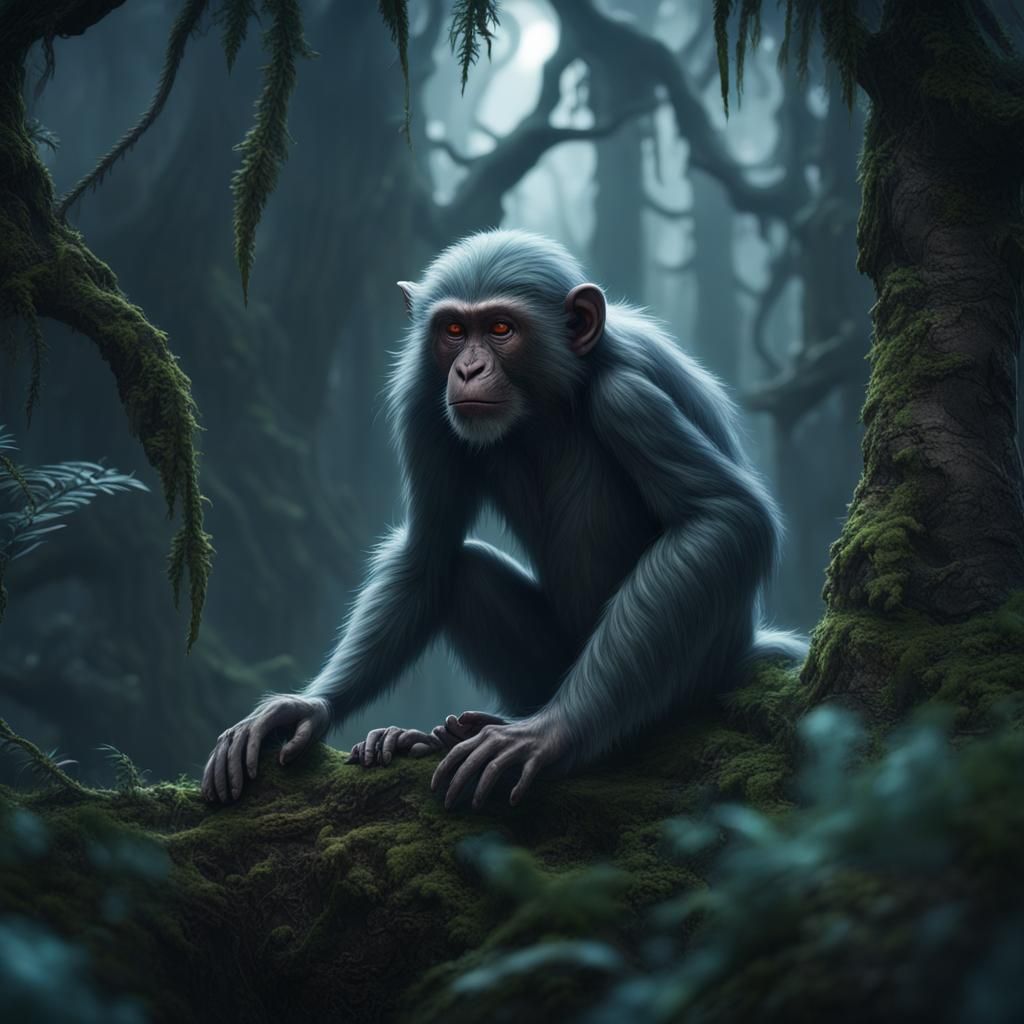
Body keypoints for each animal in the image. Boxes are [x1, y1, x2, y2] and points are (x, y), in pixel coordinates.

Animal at [201, 229, 804, 811]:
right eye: (452, 329)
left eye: (499, 328)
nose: (468, 368)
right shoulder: (423, 405)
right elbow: (428, 549)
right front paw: (308, 707)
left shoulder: (630, 398)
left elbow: (721, 517)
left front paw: (551, 734)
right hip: (546, 666)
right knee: (463, 571)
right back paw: (439, 733)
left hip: (687, 674)